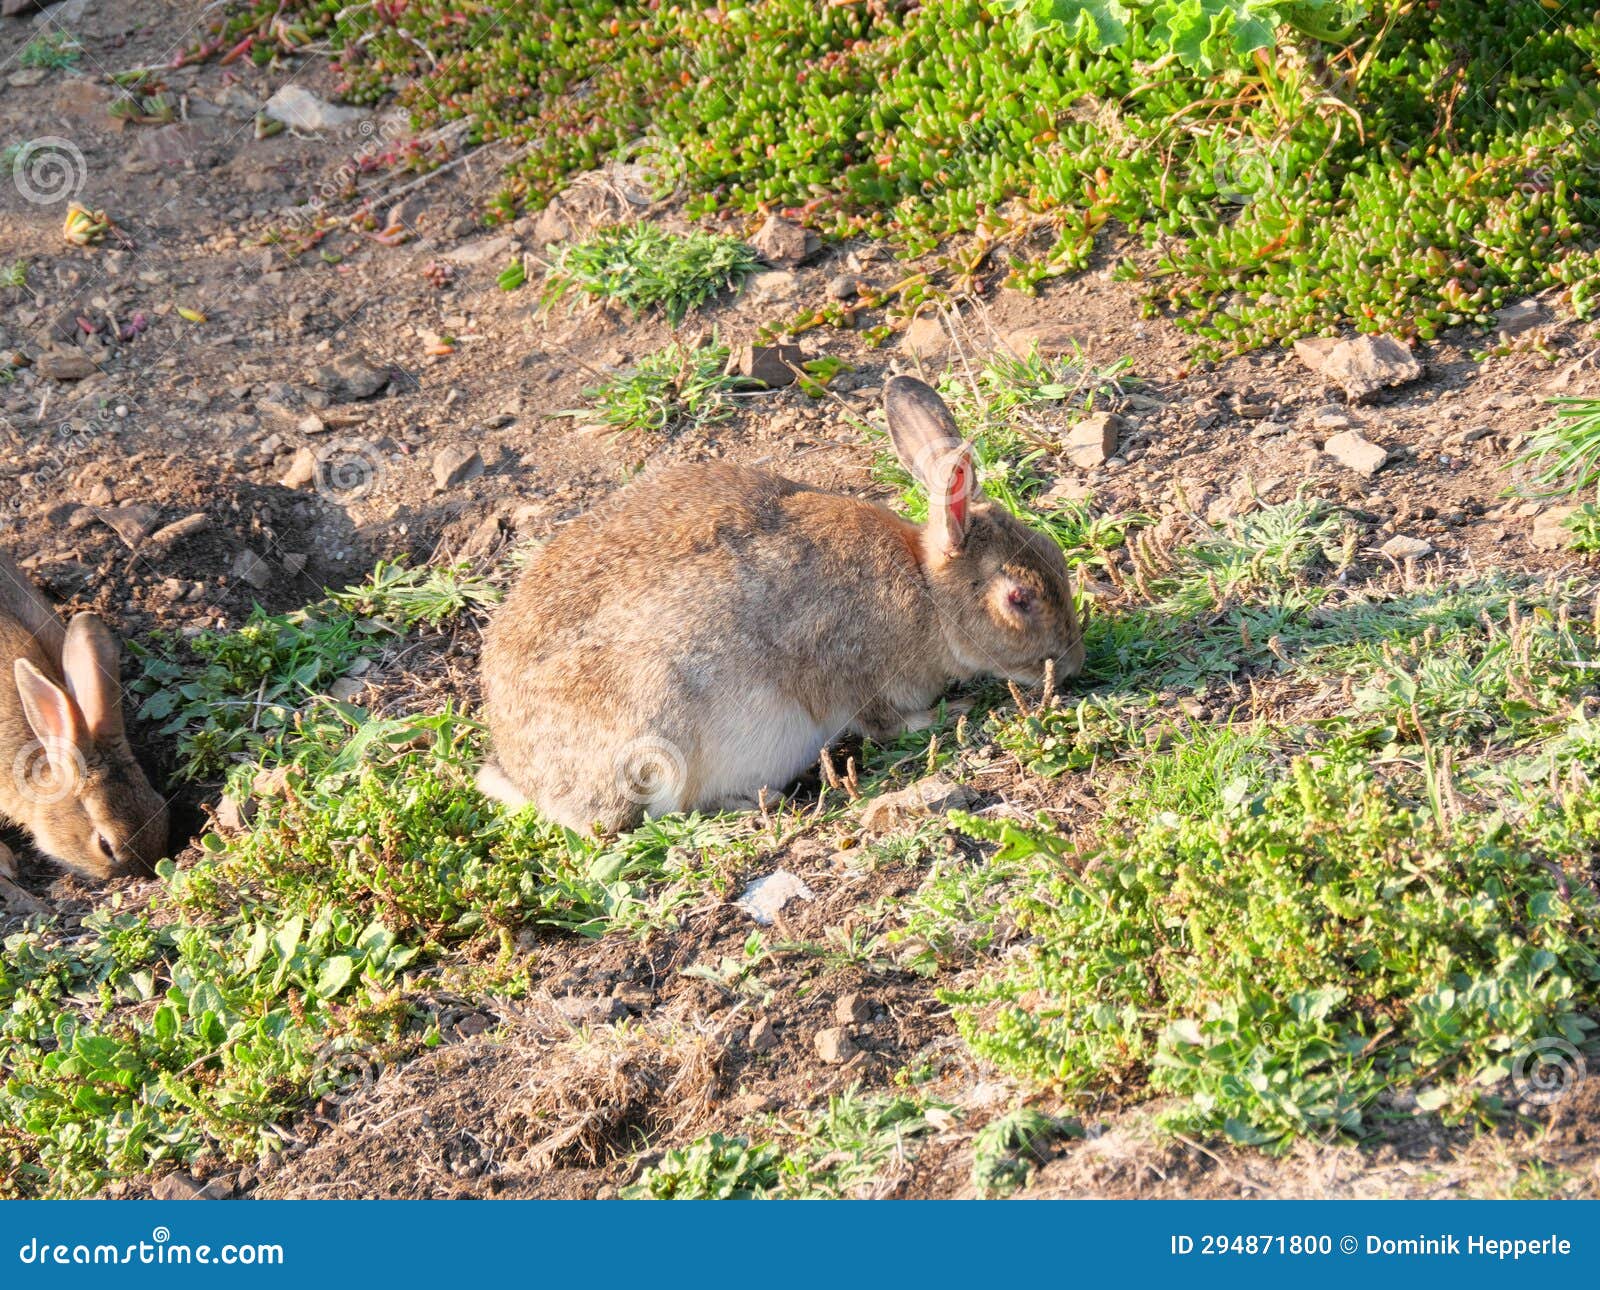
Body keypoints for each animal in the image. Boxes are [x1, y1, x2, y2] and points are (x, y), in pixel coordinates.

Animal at [477, 375, 1083, 833]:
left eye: (1054, 551)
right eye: (1019, 598)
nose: (1072, 664)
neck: (927, 591)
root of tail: (532, 781)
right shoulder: (860, 677)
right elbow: (889, 723)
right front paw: (951, 713)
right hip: (658, 742)